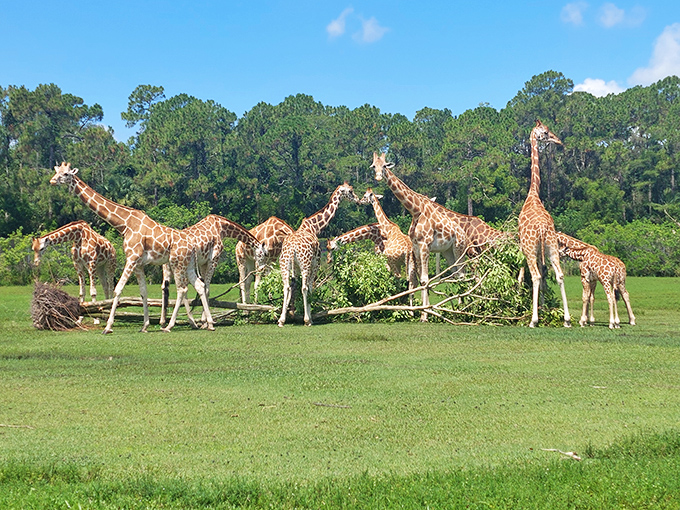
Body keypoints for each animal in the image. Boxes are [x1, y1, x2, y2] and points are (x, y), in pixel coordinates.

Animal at [49, 162, 213, 334]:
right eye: (57, 171)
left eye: (66, 174)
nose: (52, 181)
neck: (124, 224)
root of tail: (192, 245)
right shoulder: (139, 263)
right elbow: (143, 292)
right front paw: (145, 325)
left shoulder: (132, 257)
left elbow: (118, 289)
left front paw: (108, 327)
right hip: (188, 263)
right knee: (199, 285)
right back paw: (208, 323)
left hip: (177, 262)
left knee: (182, 289)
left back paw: (170, 325)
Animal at [278, 182, 361, 327]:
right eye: (350, 191)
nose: (357, 200)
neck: (313, 227)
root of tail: (292, 248)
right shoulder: (315, 264)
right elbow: (310, 287)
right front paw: (309, 318)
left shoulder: (295, 268)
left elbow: (293, 287)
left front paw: (290, 314)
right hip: (305, 265)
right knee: (304, 287)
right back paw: (306, 320)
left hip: (284, 264)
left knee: (286, 287)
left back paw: (281, 320)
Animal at [370, 152, 508, 321]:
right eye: (374, 166)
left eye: (384, 166)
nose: (378, 177)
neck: (415, 210)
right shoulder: (416, 247)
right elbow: (421, 280)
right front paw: (424, 311)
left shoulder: (425, 245)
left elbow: (425, 279)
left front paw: (425, 315)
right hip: (448, 252)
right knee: (459, 274)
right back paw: (464, 307)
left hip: (460, 249)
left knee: (463, 274)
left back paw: (467, 309)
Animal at [518, 120, 571, 328]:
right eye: (546, 132)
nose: (558, 140)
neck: (533, 194)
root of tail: (541, 227)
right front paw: (543, 306)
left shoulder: (524, 246)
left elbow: (528, 274)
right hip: (551, 246)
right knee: (559, 275)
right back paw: (566, 319)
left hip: (532, 248)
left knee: (536, 275)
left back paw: (533, 320)